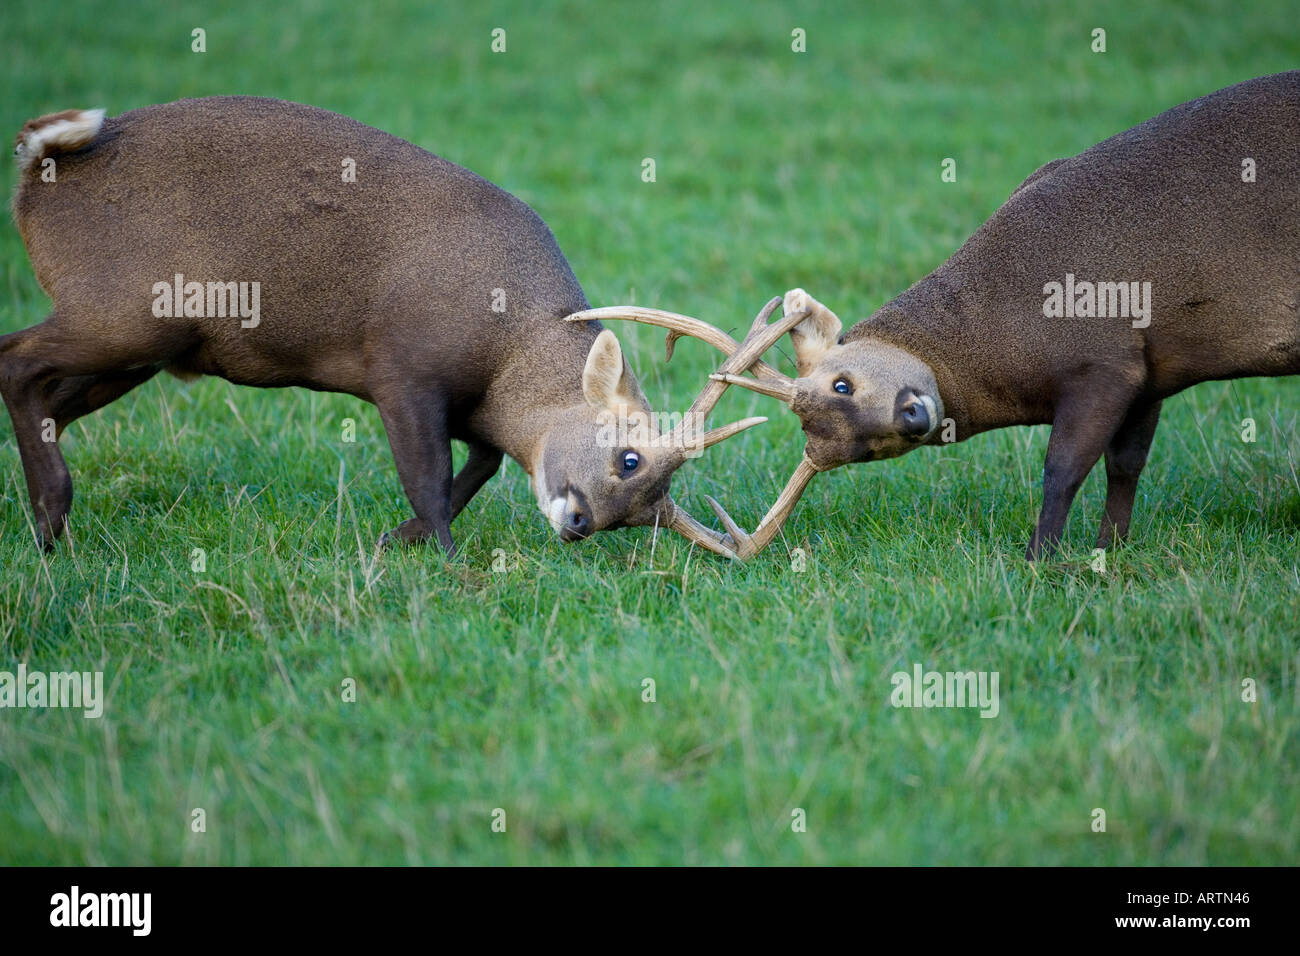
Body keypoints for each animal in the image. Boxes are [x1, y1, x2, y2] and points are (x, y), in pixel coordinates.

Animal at [1, 96, 798, 557]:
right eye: (631, 459)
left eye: (641, 517)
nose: (577, 523)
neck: (506, 341)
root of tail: (40, 170)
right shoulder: (402, 369)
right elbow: (431, 476)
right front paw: (445, 563)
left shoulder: (471, 411)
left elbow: (477, 467)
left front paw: (394, 541)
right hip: (128, 314)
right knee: (15, 358)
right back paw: (50, 519)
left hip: (139, 347)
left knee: (45, 397)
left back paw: (50, 526)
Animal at [584, 71, 1300, 560]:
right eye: (865, 451)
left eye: (842, 382)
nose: (915, 413)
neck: (1023, 311)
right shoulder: (1151, 369)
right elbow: (1125, 465)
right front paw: (1107, 555)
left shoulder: (1107, 357)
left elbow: (1064, 467)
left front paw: (1041, 562)